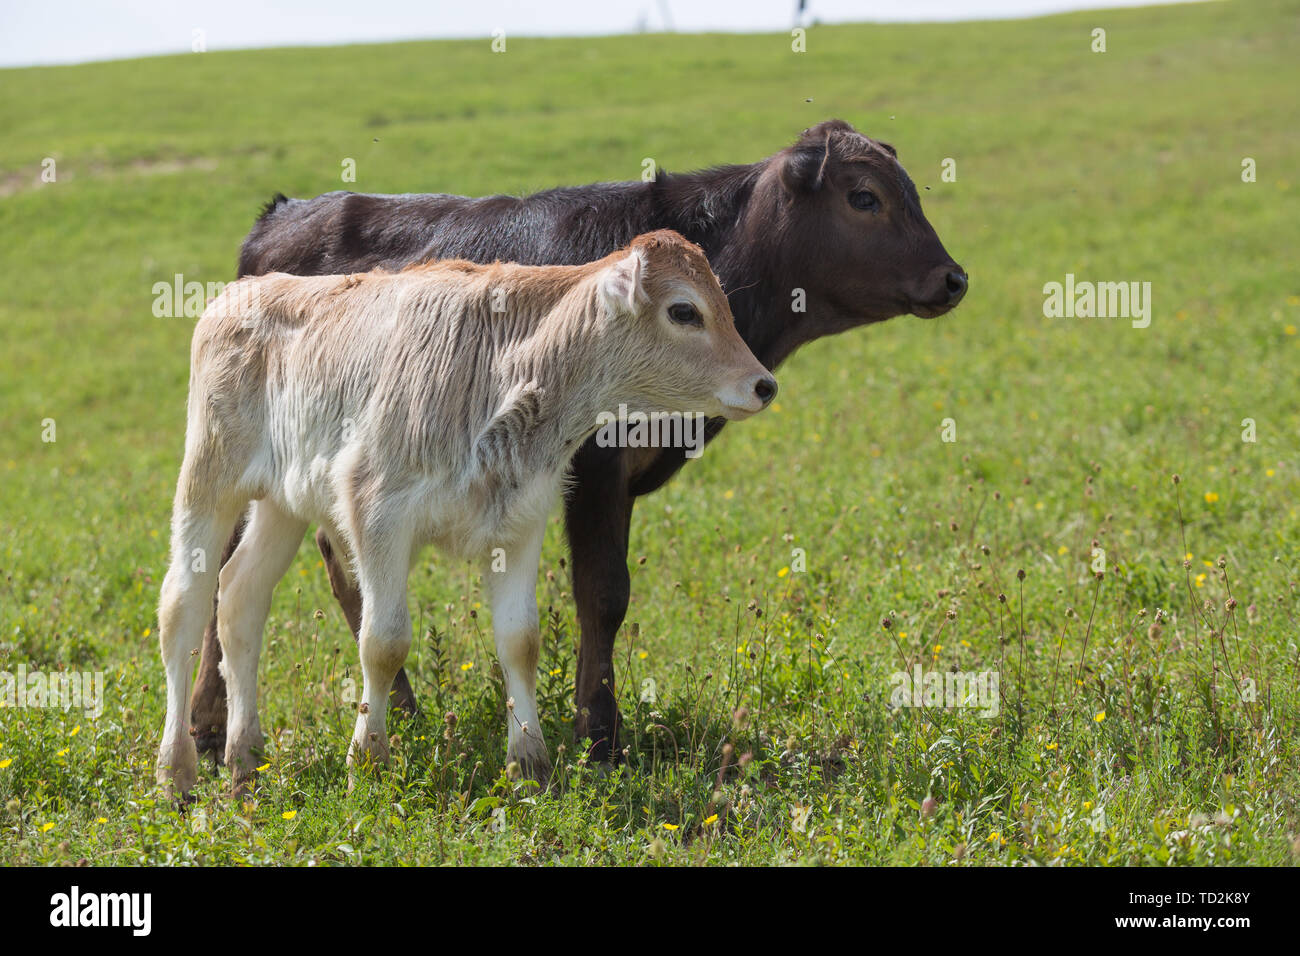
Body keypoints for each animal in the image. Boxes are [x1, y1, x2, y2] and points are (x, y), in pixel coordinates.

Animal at [156, 230, 775, 795]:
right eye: (684, 311)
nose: (764, 385)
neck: (503, 375)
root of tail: (247, 289)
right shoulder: (376, 509)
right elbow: (383, 642)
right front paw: (368, 761)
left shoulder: (522, 520)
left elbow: (520, 641)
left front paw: (530, 763)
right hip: (208, 478)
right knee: (183, 606)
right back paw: (176, 768)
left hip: (282, 502)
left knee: (240, 596)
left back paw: (244, 759)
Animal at [188, 118, 967, 765]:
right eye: (865, 197)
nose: (954, 278)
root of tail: (282, 216)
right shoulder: (591, 473)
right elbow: (603, 594)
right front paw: (598, 735)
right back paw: (211, 721)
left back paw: (390, 712)